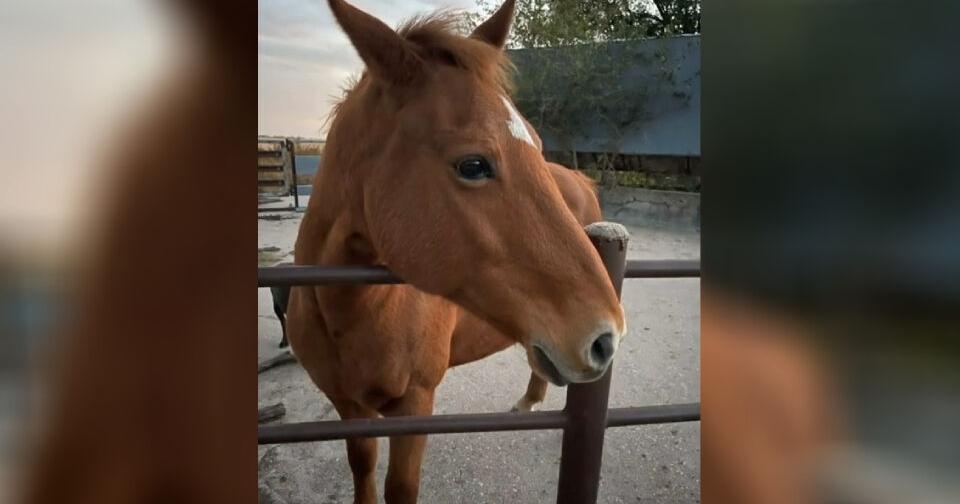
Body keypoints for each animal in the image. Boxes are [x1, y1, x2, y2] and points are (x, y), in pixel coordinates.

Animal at [287, 1, 626, 502]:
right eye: (473, 165)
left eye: (536, 144)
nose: (606, 337)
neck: (347, 311)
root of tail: (580, 180)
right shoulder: (347, 406)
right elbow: (362, 465)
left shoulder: (416, 403)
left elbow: (400, 486)